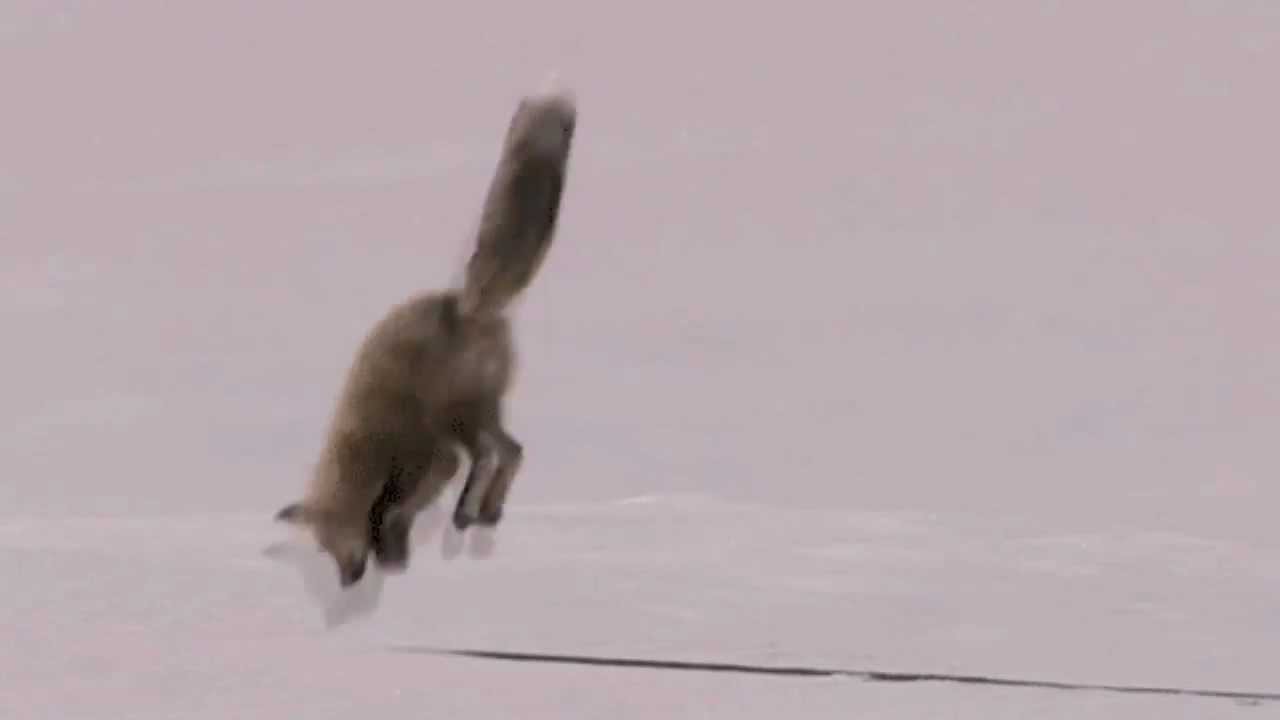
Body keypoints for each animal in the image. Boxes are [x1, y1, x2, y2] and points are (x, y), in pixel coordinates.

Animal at [273, 87, 577, 587]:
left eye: (338, 537)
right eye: (323, 548)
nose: (348, 581)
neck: (369, 445)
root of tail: (466, 305)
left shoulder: (427, 457)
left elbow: (400, 507)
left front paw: (395, 550)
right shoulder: (427, 458)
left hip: (459, 414)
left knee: (495, 453)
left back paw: (468, 511)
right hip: (479, 411)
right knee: (513, 451)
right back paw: (485, 512)